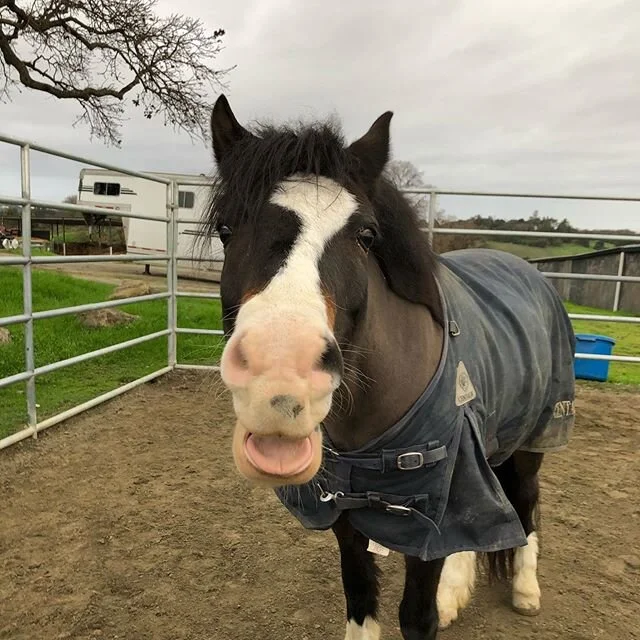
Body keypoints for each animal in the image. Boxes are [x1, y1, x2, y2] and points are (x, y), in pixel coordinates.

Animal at [204, 94, 577, 640]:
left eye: (366, 235)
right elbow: (361, 601)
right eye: (227, 230)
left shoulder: (428, 519)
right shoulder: (346, 514)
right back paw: (457, 591)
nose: (281, 376)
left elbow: (417, 617)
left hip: (534, 439)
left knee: (525, 505)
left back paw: (526, 590)